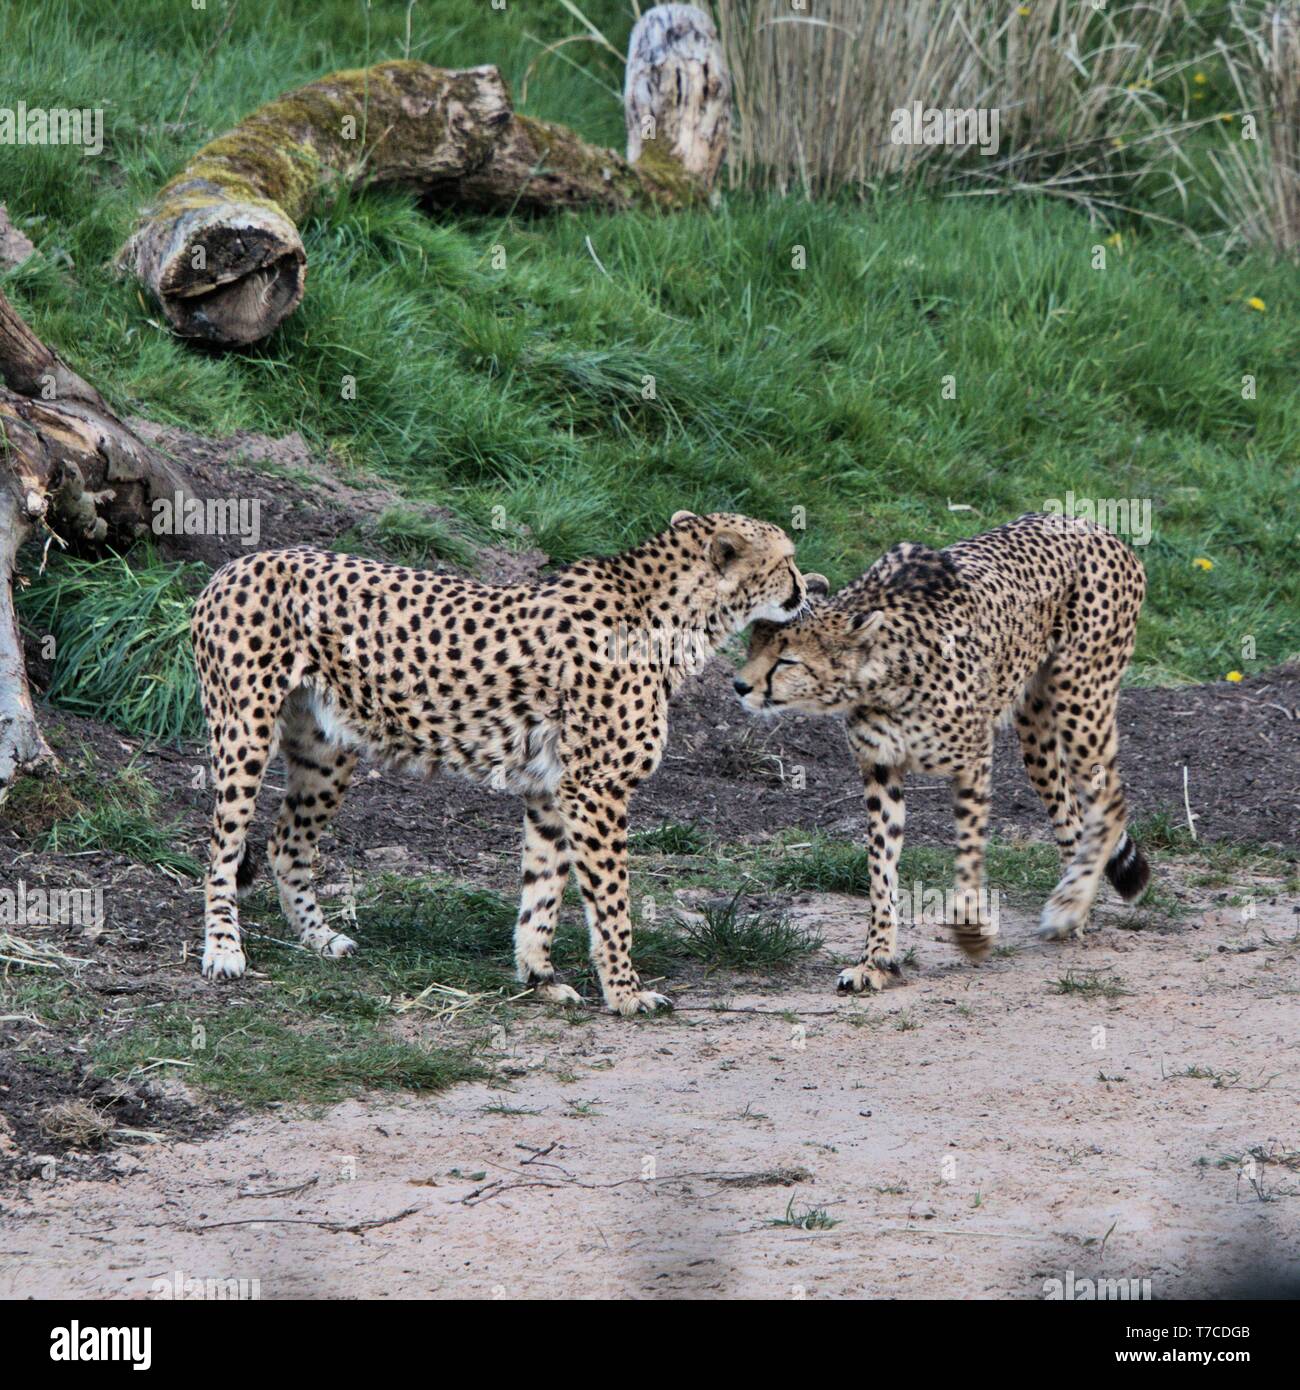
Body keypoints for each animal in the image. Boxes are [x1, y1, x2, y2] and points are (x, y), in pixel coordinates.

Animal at [190, 511, 808, 1015]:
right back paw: (223, 949)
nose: (810, 588)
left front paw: (540, 978)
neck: (675, 617)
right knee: (221, 849)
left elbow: (543, 892)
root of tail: (239, 562)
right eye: (787, 560)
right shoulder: (597, 787)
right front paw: (627, 993)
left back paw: (318, 938)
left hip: (327, 750)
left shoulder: (554, 790)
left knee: (285, 841)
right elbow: (612, 903)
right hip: (244, 731)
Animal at [734, 512, 1150, 994]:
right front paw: (876, 960)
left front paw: (970, 933)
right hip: (1036, 728)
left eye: (788, 661)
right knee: (1069, 810)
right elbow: (881, 868)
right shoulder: (881, 771)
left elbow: (968, 852)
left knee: (1110, 799)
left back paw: (1070, 904)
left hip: (1081, 697)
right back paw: (1072, 910)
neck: (884, 675)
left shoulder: (974, 760)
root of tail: (1085, 522)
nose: (739, 686)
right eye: (753, 645)